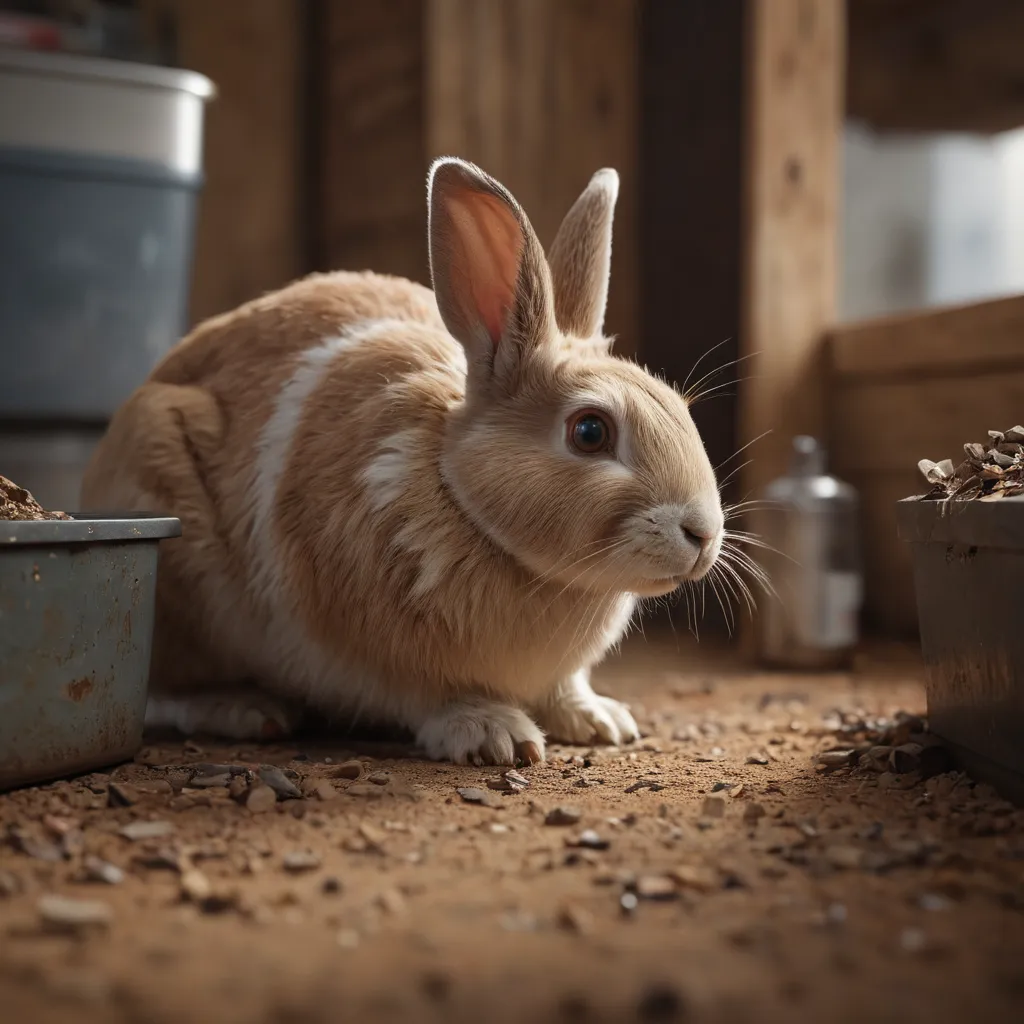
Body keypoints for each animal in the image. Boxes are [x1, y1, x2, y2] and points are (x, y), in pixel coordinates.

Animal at [81, 157, 725, 765]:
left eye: (677, 404)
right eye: (590, 432)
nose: (703, 534)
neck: (463, 503)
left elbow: (564, 685)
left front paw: (601, 722)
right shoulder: (369, 651)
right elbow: (427, 695)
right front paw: (495, 735)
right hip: (176, 573)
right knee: (168, 691)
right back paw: (245, 710)